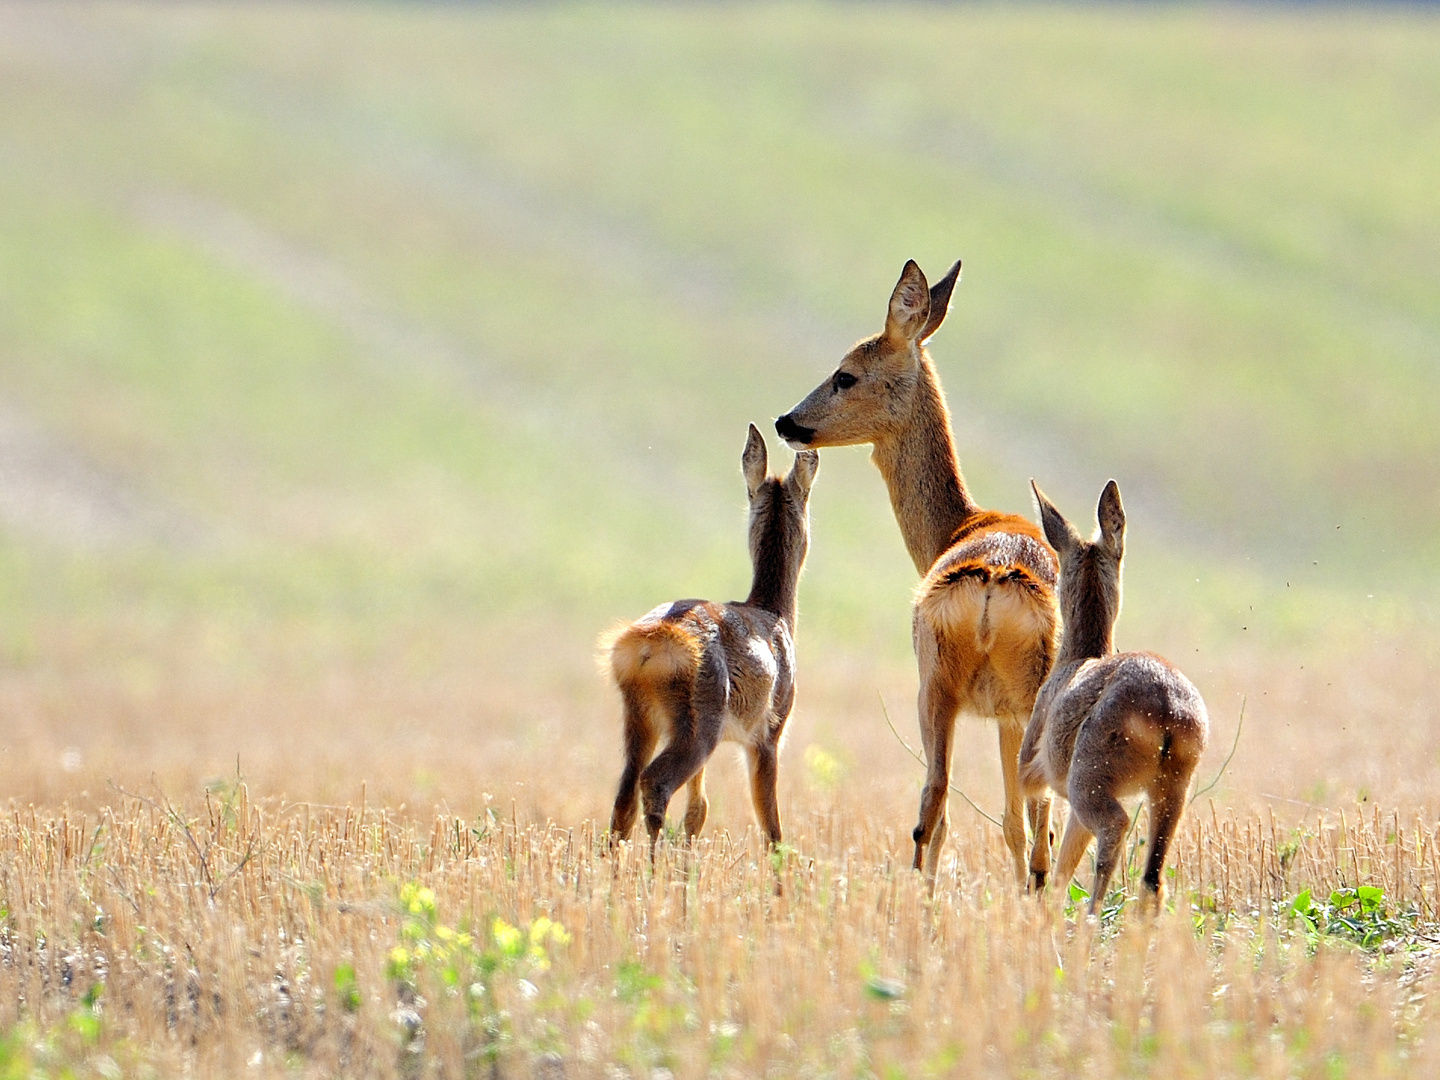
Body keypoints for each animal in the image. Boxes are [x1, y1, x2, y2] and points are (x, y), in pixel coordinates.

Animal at [601, 424, 818, 855]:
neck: (775, 613)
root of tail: (651, 642)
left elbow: (697, 813)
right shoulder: (769, 731)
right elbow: (772, 827)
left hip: (641, 717)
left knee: (624, 798)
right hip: (702, 723)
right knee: (655, 783)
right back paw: (653, 870)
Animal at [775, 259, 1059, 888]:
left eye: (845, 375)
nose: (785, 420)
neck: (960, 525)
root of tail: (991, 582)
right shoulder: (1007, 712)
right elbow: (1013, 823)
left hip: (945, 685)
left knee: (949, 807)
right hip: (991, 692)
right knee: (1000, 817)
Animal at [1020, 479, 1209, 914]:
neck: (1078, 658)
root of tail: (1169, 710)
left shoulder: (1034, 771)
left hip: (1089, 784)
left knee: (1114, 830)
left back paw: (1089, 917)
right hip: (1171, 790)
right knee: (1153, 877)